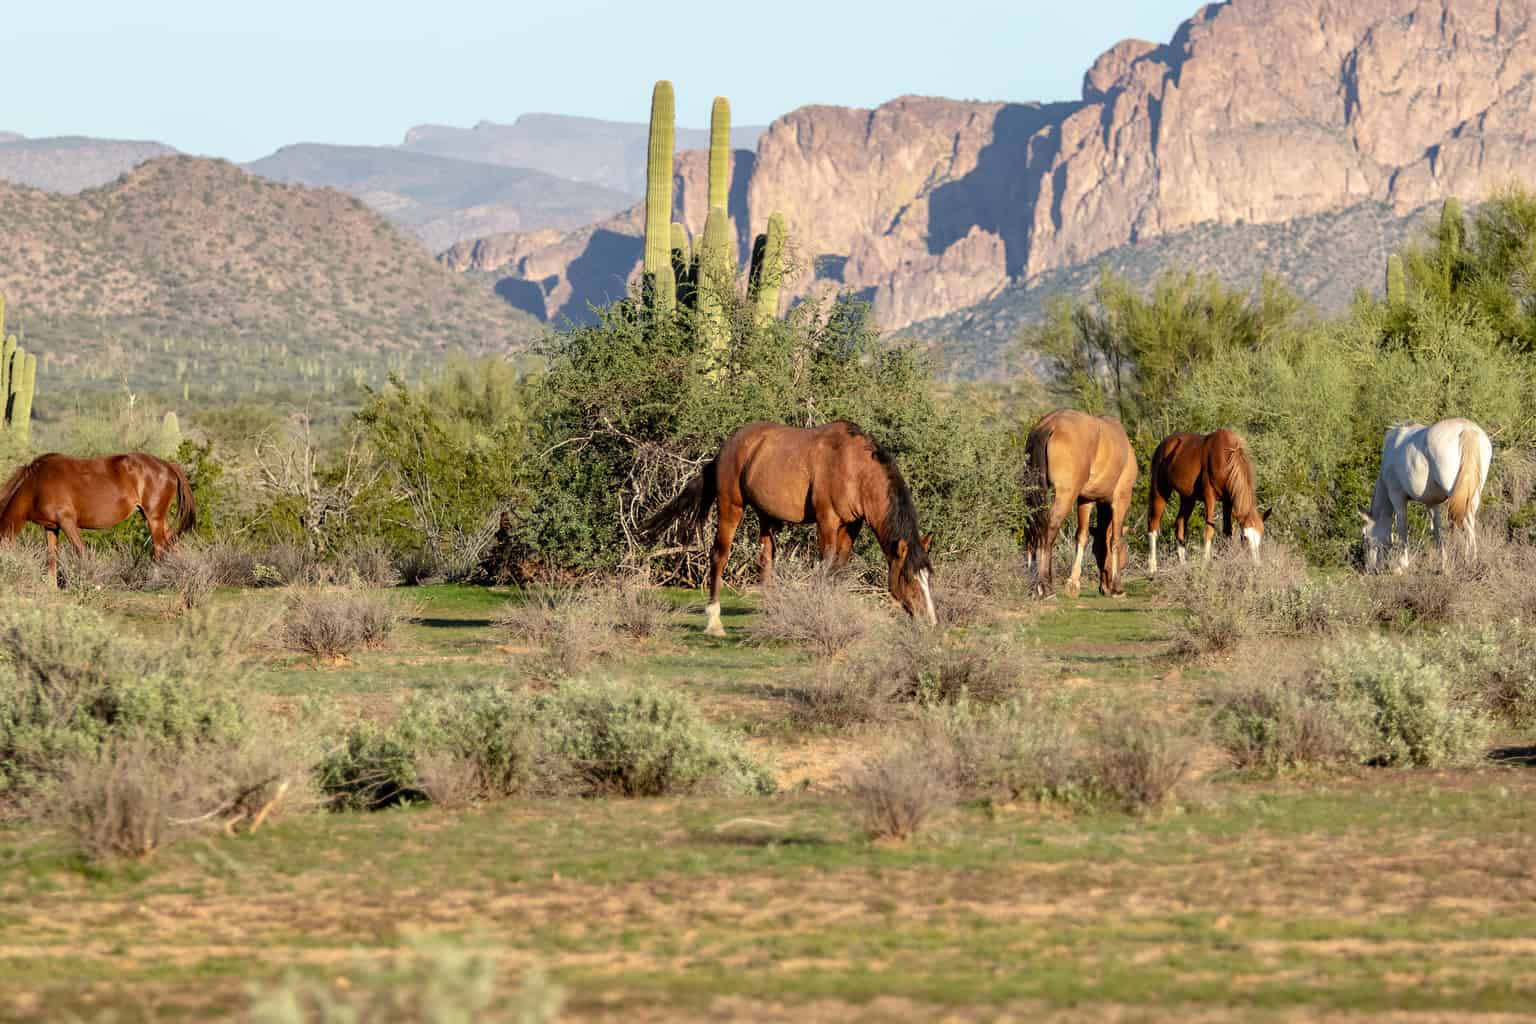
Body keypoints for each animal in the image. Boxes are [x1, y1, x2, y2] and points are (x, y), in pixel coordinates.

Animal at [0, 452, 197, 585]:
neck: (36, 485)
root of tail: (168, 465)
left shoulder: (67, 523)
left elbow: (81, 552)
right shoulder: (51, 527)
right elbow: (51, 557)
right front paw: (51, 588)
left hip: (154, 518)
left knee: (160, 548)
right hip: (158, 519)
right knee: (170, 546)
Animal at [640, 420, 936, 636]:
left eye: (928, 577)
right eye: (909, 578)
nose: (930, 622)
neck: (854, 469)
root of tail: (726, 448)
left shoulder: (852, 526)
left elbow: (839, 570)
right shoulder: (827, 522)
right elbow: (826, 568)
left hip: (765, 515)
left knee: (765, 560)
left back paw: (769, 614)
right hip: (731, 506)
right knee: (719, 556)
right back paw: (714, 623)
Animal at [1023, 410, 1137, 598]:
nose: (1105, 588)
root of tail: (1049, 425)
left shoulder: (1086, 499)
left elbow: (1083, 536)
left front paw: (1074, 583)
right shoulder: (1121, 499)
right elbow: (1115, 539)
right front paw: (1117, 587)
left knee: (1032, 527)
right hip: (1066, 495)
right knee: (1050, 528)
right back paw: (1045, 587)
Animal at [1146, 428, 1268, 573]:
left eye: (1261, 536)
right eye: (1244, 537)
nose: (1256, 565)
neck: (1225, 457)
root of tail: (1163, 444)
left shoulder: (1227, 501)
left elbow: (1227, 531)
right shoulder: (1209, 498)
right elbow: (1209, 530)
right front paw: (1205, 563)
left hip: (1188, 498)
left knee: (1180, 524)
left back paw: (1183, 564)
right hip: (1160, 491)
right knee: (1153, 524)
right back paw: (1152, 568)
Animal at [1362, 418, 1491, 572]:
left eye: (1364, 535)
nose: (1369, 568)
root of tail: (1466, 429)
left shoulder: (1397, 497)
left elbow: (1402, 528)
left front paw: (1402, 565)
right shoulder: (1431, 503)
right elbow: (1437, 530)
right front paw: (1443, 563)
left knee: (1467, 523)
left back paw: (1470, 561)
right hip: (1473, 494)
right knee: (1470, 522)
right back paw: (1470, 560)